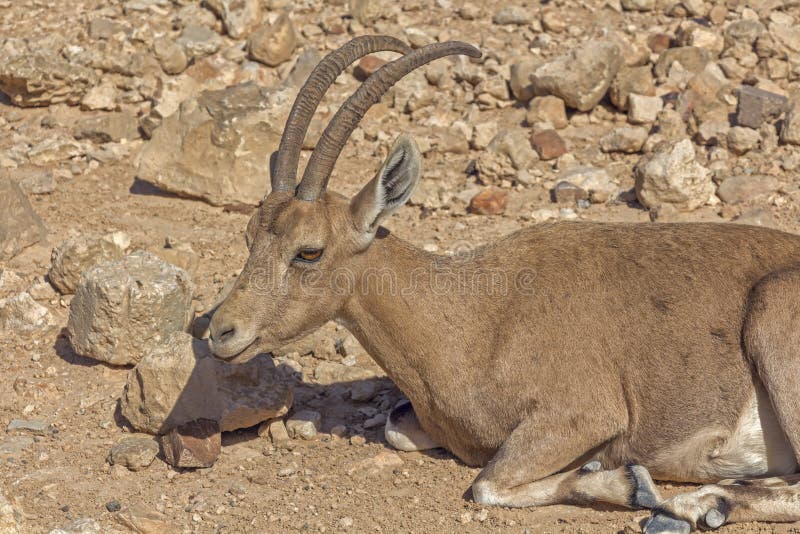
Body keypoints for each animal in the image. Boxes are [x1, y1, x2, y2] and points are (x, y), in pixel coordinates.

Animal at [208, 35, 800, 533]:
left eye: (309, 251)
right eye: (247, 234)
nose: (220, 332)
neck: (477, 319)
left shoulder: (583, 415)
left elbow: (488, 484)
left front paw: (630, 483)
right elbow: (399, 429)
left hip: (773, 321)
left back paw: (701, 502)